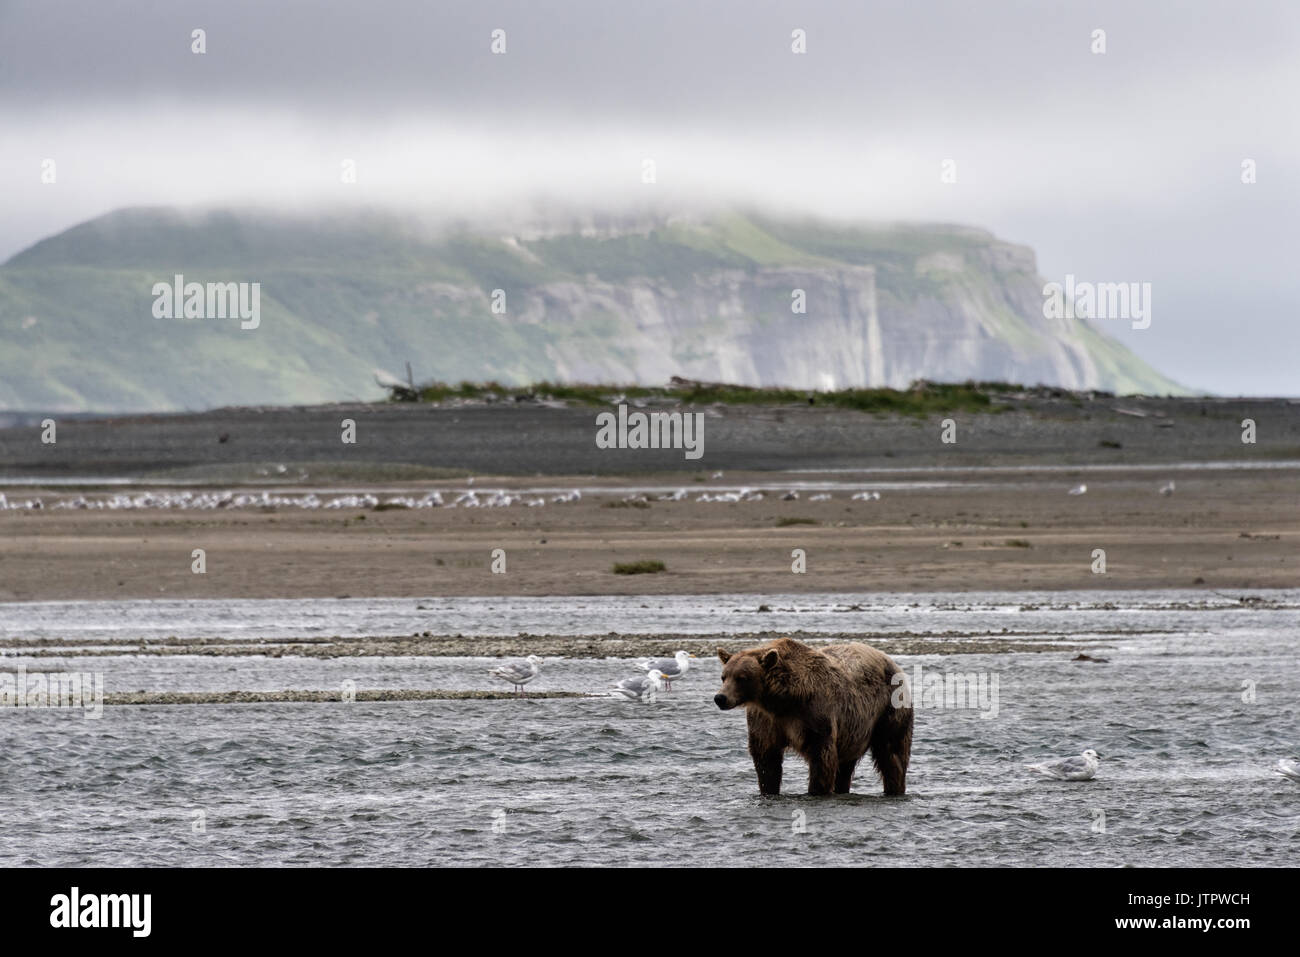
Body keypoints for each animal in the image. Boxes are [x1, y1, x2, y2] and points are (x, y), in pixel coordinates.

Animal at [714, 636, 912, 796]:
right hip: (852, 732)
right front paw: (768, 790)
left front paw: (816, 791)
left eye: (741, 677)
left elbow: (822, 758)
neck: (781, 700)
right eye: (724, 676)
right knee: (846, 766)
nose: (720, 698)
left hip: (888, 710)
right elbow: (766, 760)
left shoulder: (815, 715)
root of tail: (892, 662)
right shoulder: (766, 721)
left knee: (891, 753)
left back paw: (894, 789)